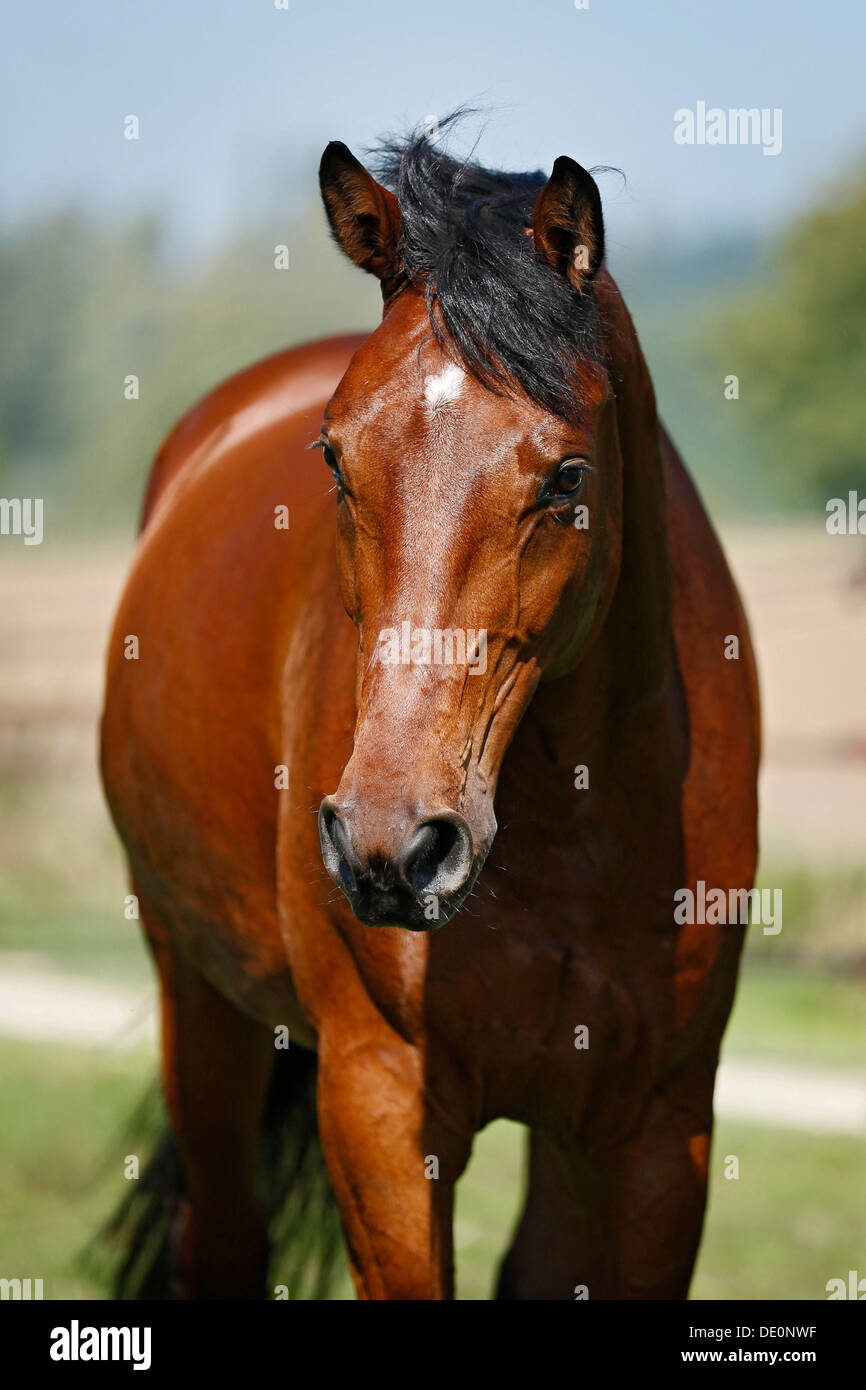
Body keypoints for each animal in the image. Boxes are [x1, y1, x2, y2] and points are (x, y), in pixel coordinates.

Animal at [99, 122, 760, 1300]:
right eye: (333, 456)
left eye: (568, 477)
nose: (390, 848)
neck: (576, 831)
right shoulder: (382, 1100)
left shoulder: (654, 1133)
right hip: (200, 1002)